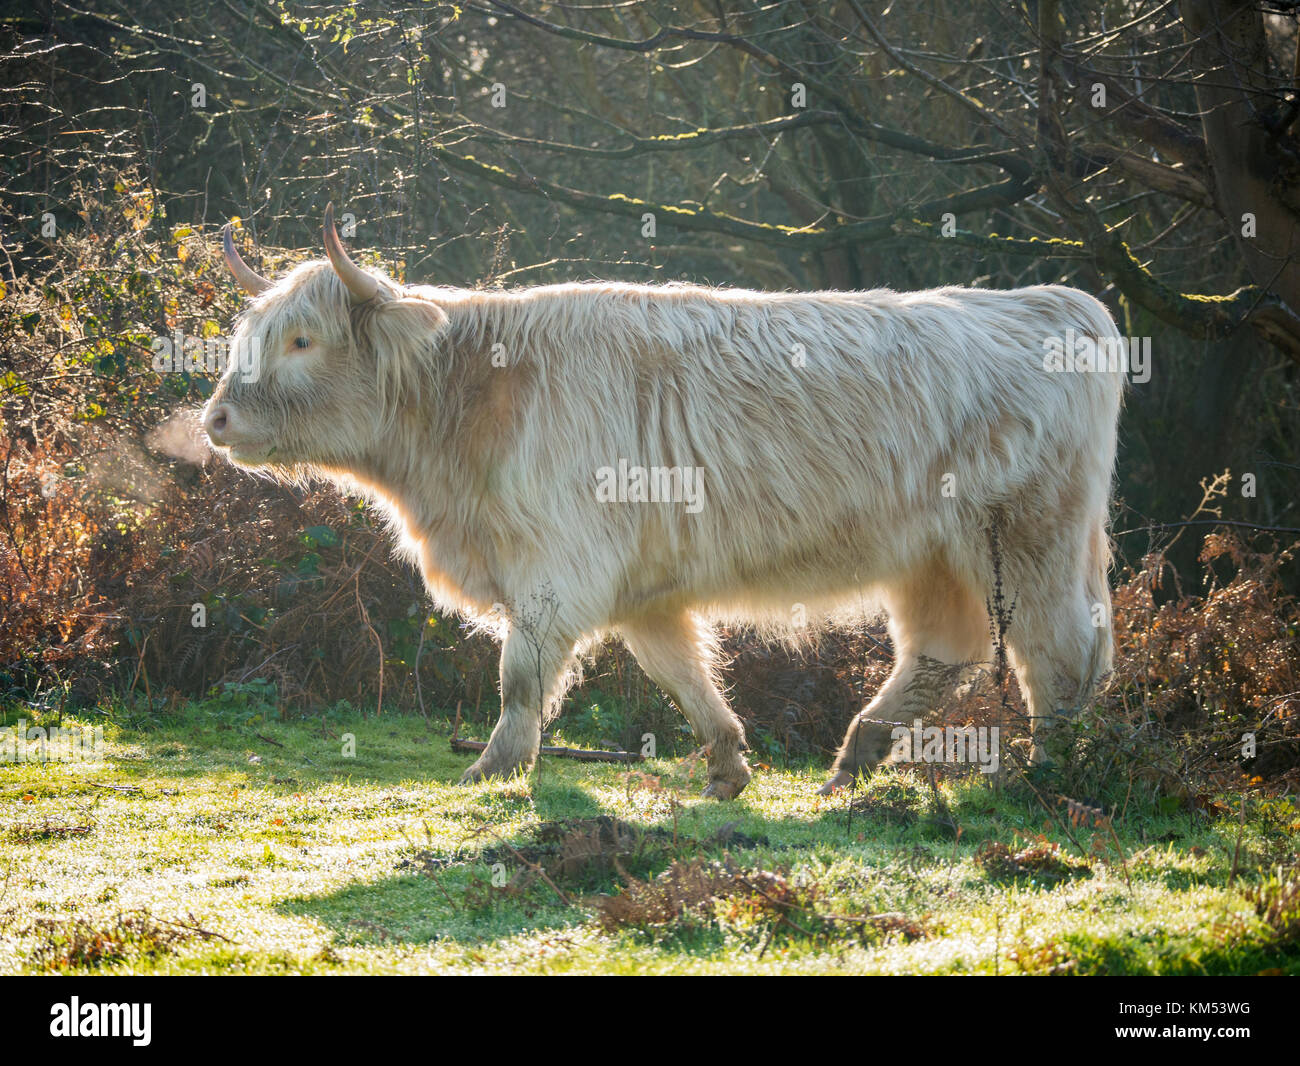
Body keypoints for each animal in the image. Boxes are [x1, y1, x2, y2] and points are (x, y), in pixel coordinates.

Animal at [204, 206, 1124, 799]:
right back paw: (854, 758)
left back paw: (1051, 772)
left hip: (1031, 537)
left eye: (300, 340)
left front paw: (491, 768)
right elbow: (681, 673)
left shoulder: (559, 570)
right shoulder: (638, 586)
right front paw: (727, 768)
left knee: (1060, 653)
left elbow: (521, 677)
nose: (214, 419)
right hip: (934, 555)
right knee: (944, 651)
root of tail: (1059, 301)